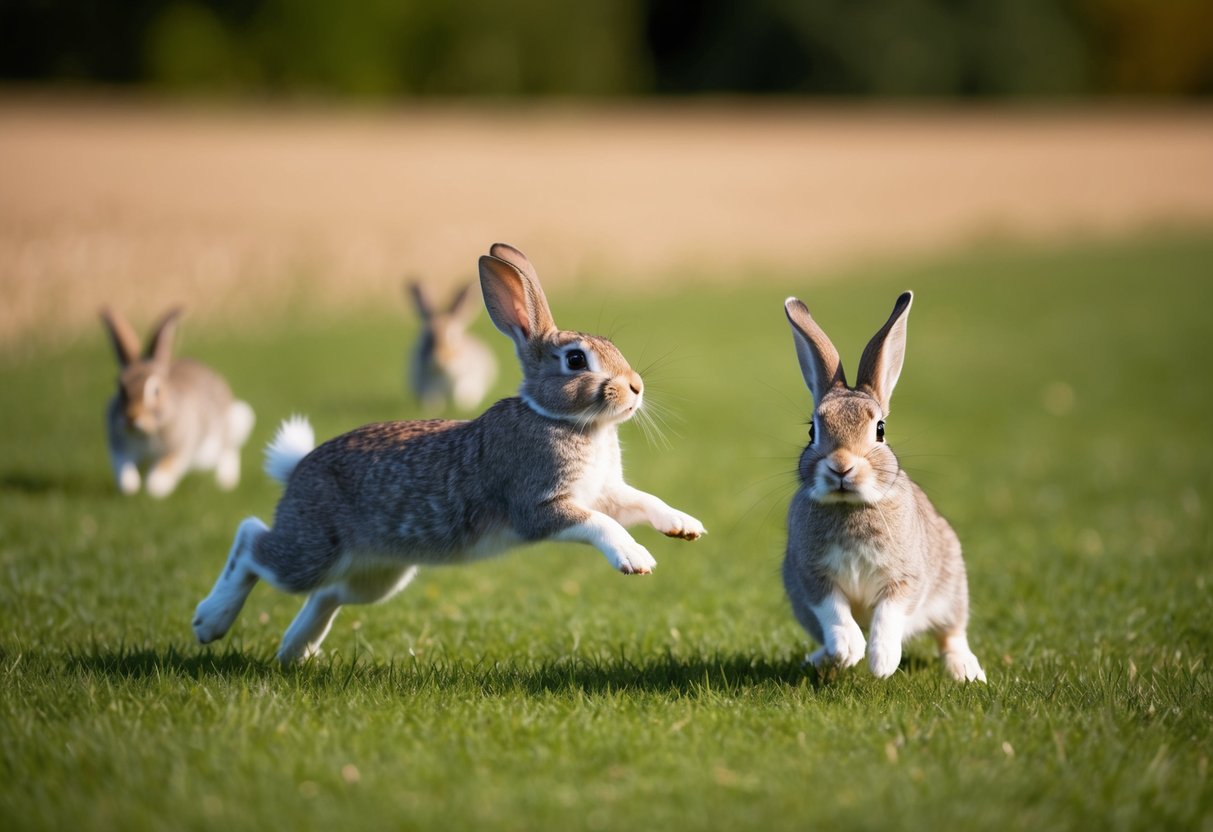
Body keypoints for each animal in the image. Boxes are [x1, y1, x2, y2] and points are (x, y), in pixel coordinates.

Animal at [101, 307, 255, 498]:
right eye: (121, 387)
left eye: (156, 390)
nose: (131, 417)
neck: (146, 432)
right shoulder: (119, 447)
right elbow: (124, 469)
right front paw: (131, 489)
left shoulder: (180, 447)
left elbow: (165, 468)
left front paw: (154, 490)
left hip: (235, 424)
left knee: (228, 451)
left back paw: (226, 482)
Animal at [407, 281, 498, 413]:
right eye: (427, 338)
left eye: (452, 337)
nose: (439, 360)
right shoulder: (426, 384)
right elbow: (431, 396)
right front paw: (433, 408)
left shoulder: (467, 377)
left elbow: (460, 391)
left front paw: (463, 404)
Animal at [781, 291, 985, 682]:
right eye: (813, 430)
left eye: (880, 429)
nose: (842, 467)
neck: (849, 506)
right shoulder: (811, 577)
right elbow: (834, 611)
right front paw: (849, 649)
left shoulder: (905, 577)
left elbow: (890, 613)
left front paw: (881, 660)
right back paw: (823, 659)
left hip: (951, 589)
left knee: (951, 634)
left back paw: (966, 671)